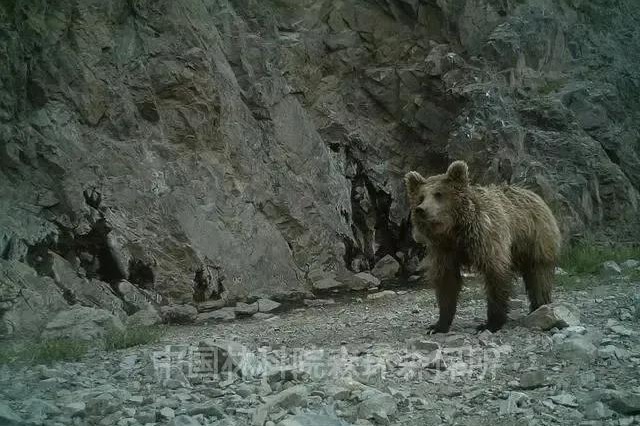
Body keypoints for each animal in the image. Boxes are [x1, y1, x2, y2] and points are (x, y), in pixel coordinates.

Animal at [404, 160, 561, 333]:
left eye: (438, 194)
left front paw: (491, 323)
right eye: (421, 197)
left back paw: (540, 307)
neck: (456, 231)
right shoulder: (444, 250)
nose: (421, 210)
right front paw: (439, 324)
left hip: (536, 238)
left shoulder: (487, 239)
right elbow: (447, 281)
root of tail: (533, 194)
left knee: (539, 275)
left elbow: (495, 276)